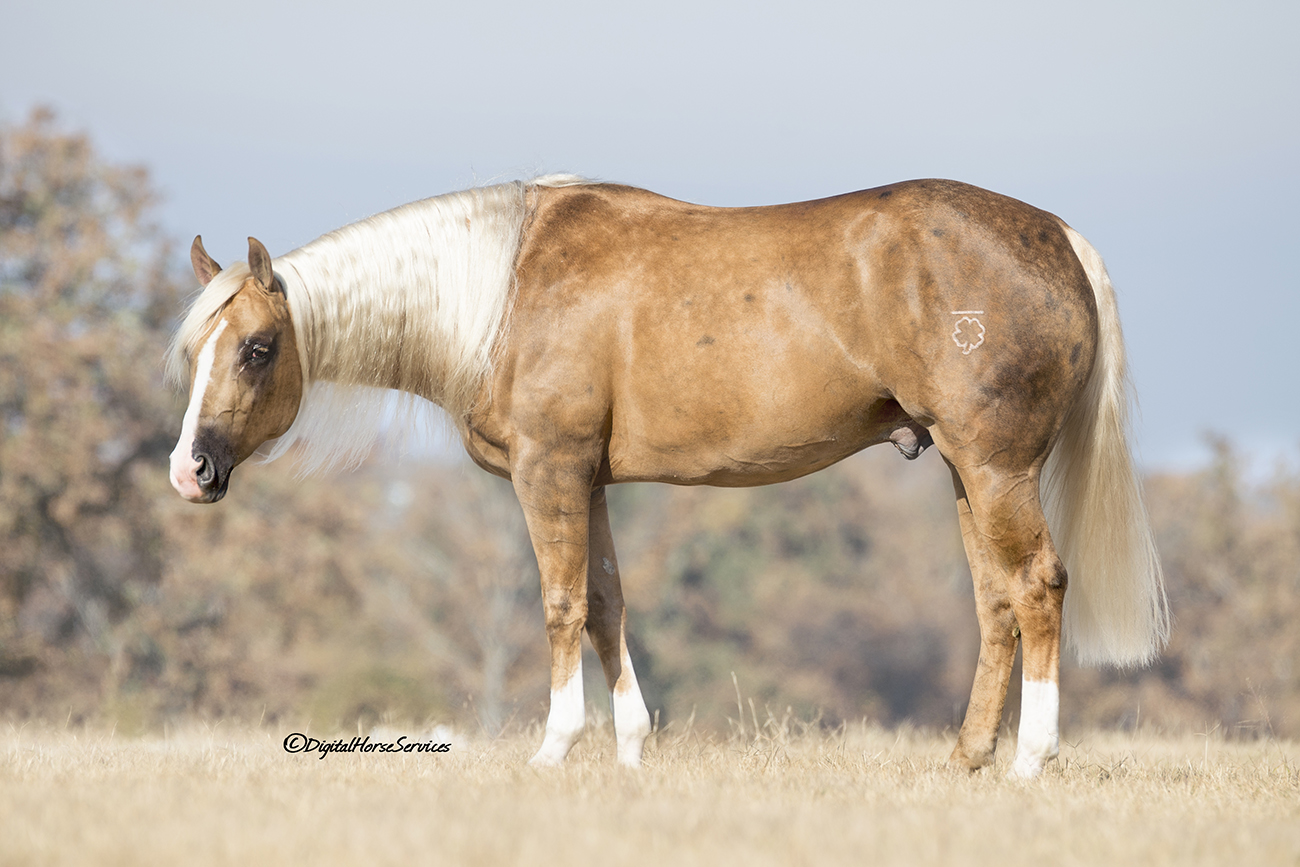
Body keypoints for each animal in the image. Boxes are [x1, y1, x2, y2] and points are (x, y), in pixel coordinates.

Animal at [167, 175, 1167, 778]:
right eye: (192, 351)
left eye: (257, 348)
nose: (190, 470)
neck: (501, 294)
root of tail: (1057, 236)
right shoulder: (592, 482)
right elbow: (608, 604)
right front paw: (631, 751)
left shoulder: (550, 470)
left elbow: (562, 603)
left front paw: (555, 748)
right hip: (965, 471)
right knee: (996, 601)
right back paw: (964, 759)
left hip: (996, 468)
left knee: (1037, 586)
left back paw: (1031, 757)